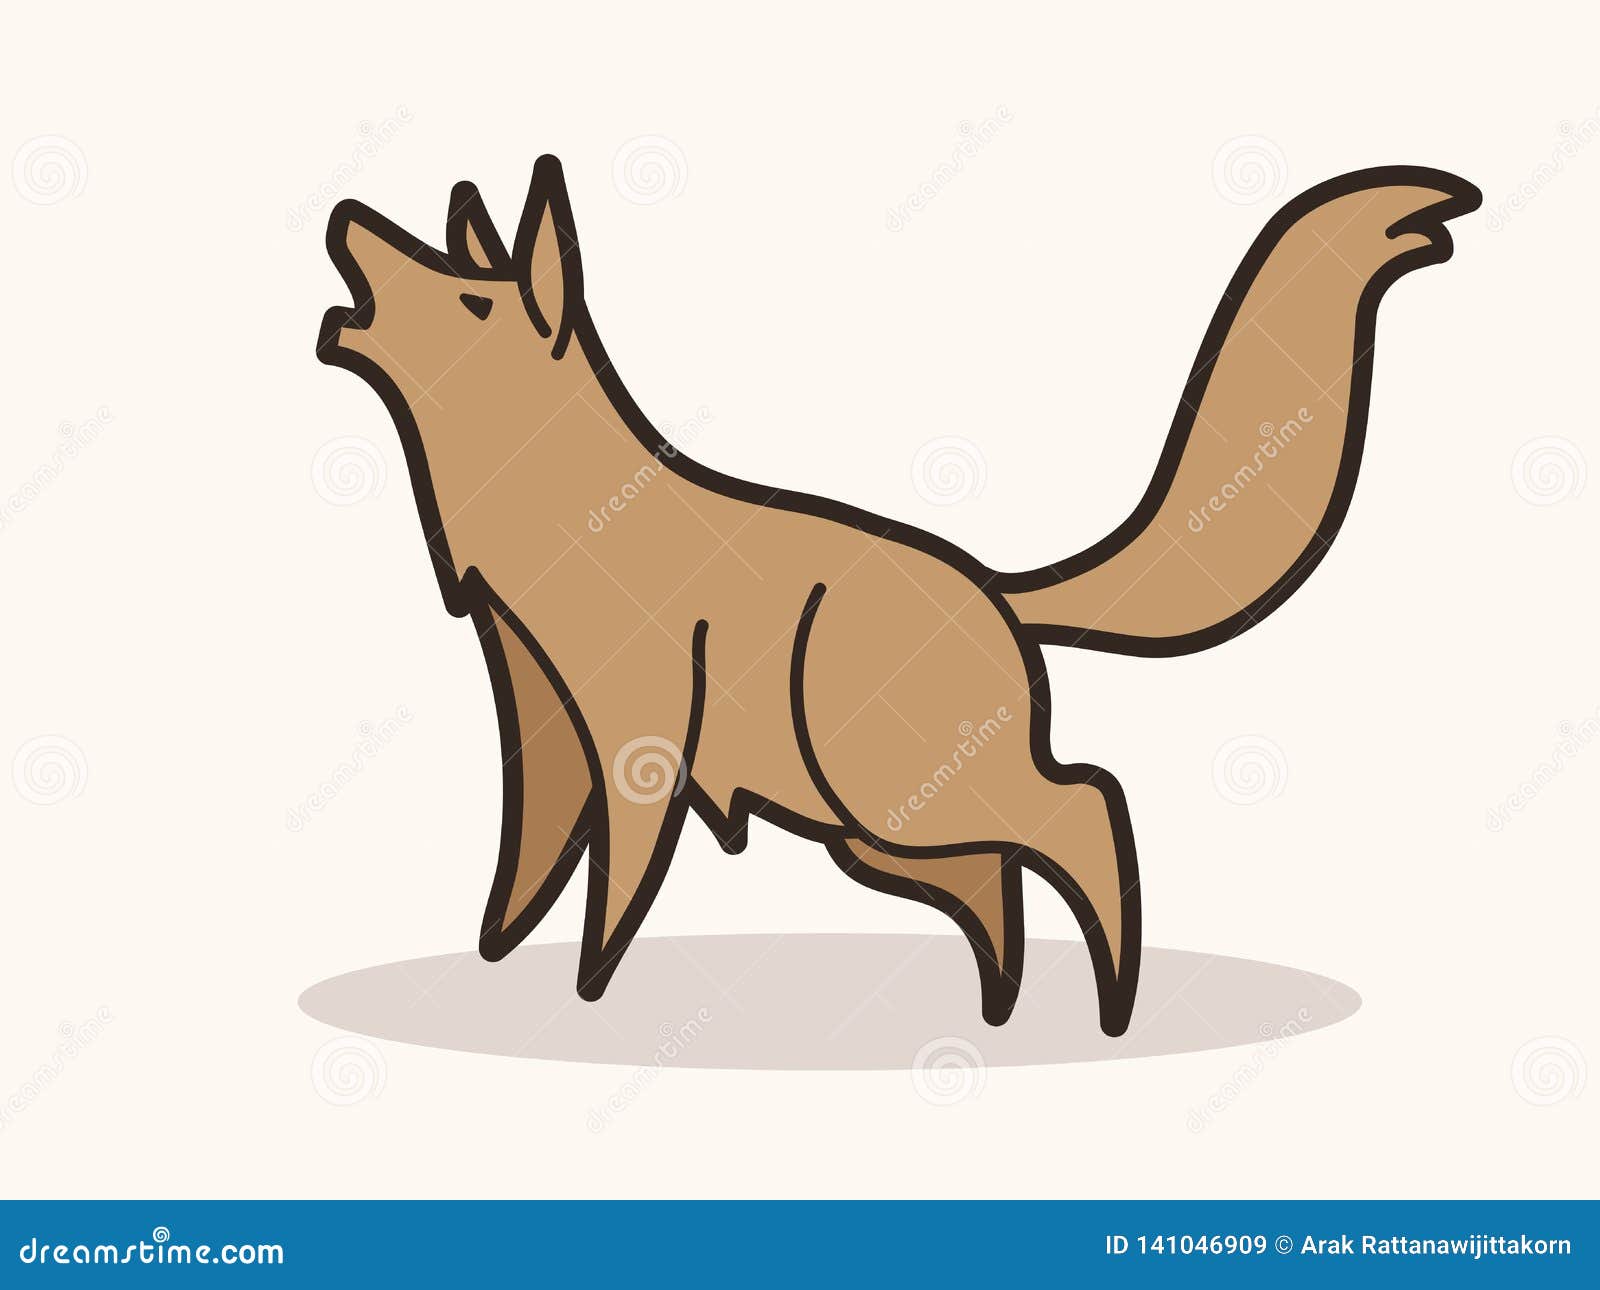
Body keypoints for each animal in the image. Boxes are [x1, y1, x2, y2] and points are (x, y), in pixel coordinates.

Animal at [317, 156, 1478, 1034]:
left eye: (473, 298)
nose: (352, 222)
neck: (563, 498)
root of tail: (997, 590)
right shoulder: (545, 724)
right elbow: (530, 860)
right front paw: (500, 954)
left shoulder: (637, 741)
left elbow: (619, 873)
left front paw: (591, 982)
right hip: (881, 824)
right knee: (1000, 884)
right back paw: (1002, 1012)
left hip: (889, 789)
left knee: (1085, 806)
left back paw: (1112, 1005)